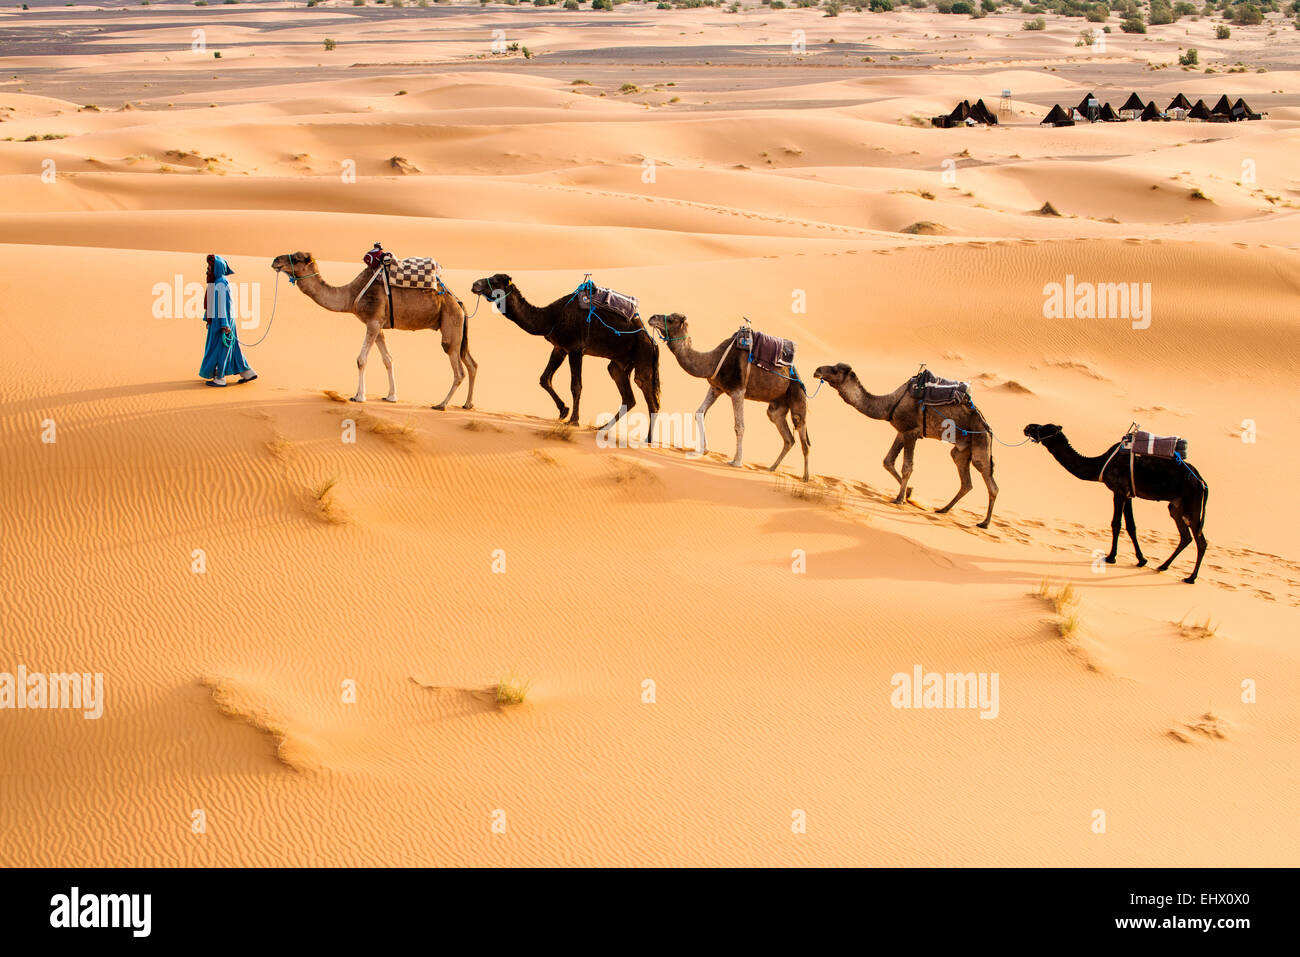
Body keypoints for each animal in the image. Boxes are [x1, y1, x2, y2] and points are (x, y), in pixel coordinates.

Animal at [270, 250, 478, 408]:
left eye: (297, 258)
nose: (275, 260)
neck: (350, 295)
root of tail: (460, 303)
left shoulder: (373, 321)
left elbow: (361, 359)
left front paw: (358, 396)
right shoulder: (378, 324)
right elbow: (388, 359)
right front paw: (391, 396)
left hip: (451, 324)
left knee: (459, 369)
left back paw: (441, 405)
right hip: (458, 329)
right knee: (471, 363)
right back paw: (467, 404)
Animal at [467, 273, 660, 442]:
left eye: (495, 281)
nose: (475, 284)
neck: (551, 317)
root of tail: (651, 341)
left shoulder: (575, 349)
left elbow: (576, 386)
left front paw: (574, 420)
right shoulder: (560, 347)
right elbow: (544, 379)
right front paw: (563, 411)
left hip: (643, 355)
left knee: (649, 395)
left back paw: (648, 439)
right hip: (619, 363)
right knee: (627, 395)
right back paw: (601, 427)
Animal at [644, 312, 806, 478]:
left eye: (670, 320)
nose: (652, 318)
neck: (713, 361)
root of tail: (797, 377)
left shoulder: (737, 391)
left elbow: (739, 426)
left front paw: (737, 462)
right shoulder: (716, 387)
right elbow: (699, 413)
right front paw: (703, 449)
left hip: (797, 395)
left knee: (803, 437)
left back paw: (805, 478)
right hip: (777, 406)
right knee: (788, 438)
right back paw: (772, 468)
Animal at [811, 361, 993, 527]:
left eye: (834, 370)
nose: (817, 370)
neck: (890, 403)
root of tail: (987, 426)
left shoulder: (911, 431)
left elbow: (907, 466)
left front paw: (899, 498)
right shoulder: (901, 431)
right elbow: (887, 461)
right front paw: (909, 493)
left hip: (980, 440)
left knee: (989, 480)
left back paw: (984, 522)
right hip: (963, 448)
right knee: (966, 481)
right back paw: (943, 509)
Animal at [1024, 423, 1206, 582]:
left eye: (1045, 428)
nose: (1028, 427)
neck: (1100, 464)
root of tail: (1202, 482)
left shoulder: (1118, 491)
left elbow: (1116, 524)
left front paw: (1111, 557)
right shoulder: (1128, 494)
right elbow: (1131, 526)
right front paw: (1141, 560)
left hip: (1193, 504)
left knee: (1201, 540)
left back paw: (1191, 578)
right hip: (1176, 506)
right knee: (1186, 536)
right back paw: (1163, 566)